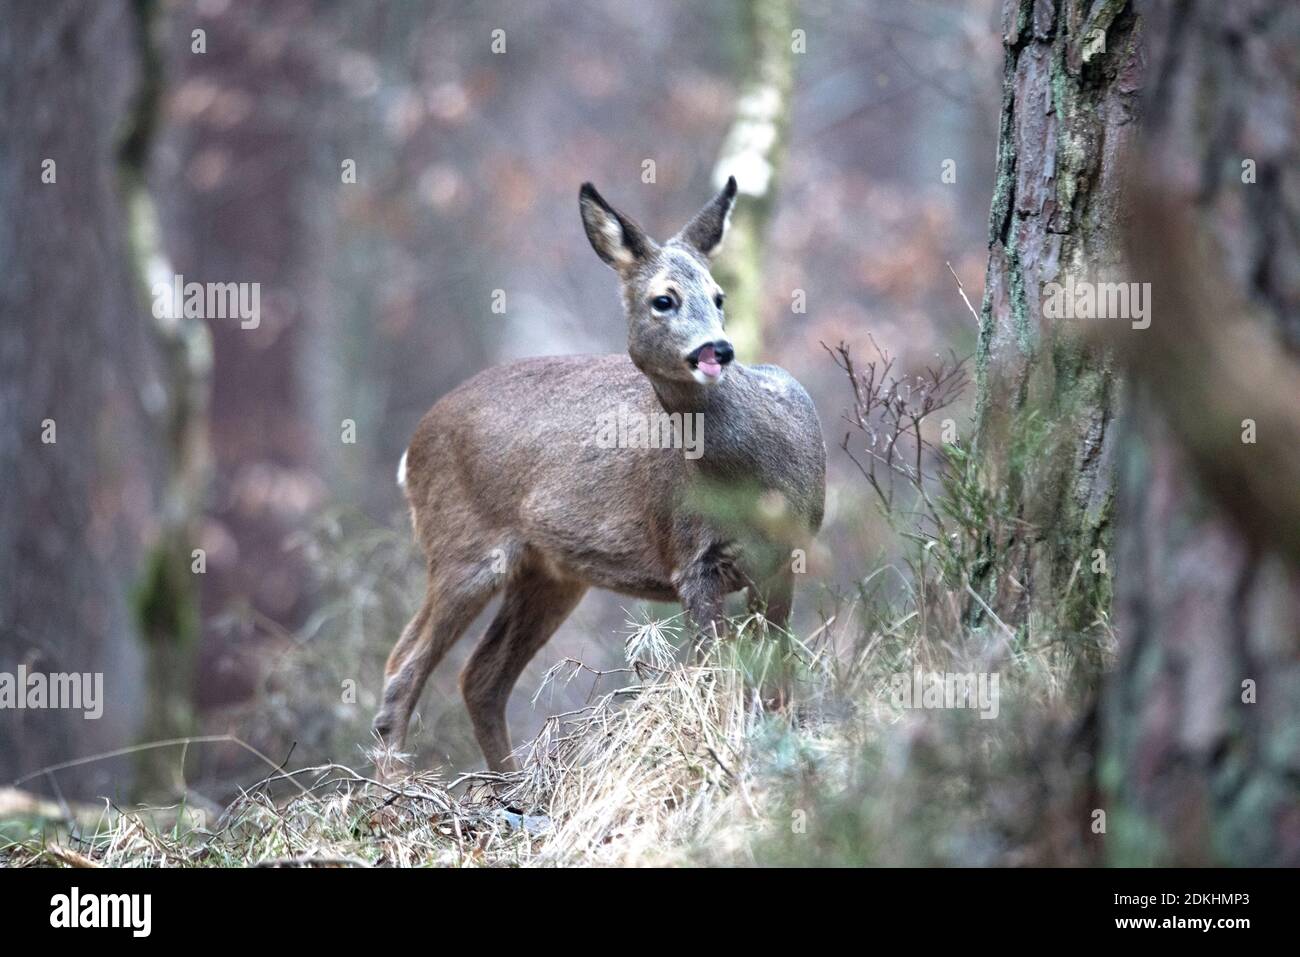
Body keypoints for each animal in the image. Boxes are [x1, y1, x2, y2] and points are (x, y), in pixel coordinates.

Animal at [372, 177, 826, 774]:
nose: (718, 350)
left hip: (551, 575)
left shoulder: (782, 557)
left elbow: (774, 674)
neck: (753, 480)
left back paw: (509, 784)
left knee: (480, 676)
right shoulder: (690, 558)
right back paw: (396, 785)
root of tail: (413, 447)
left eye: (719, 296)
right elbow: (718, 676)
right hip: (462, 545)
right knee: (403, 665)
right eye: (664, 299)